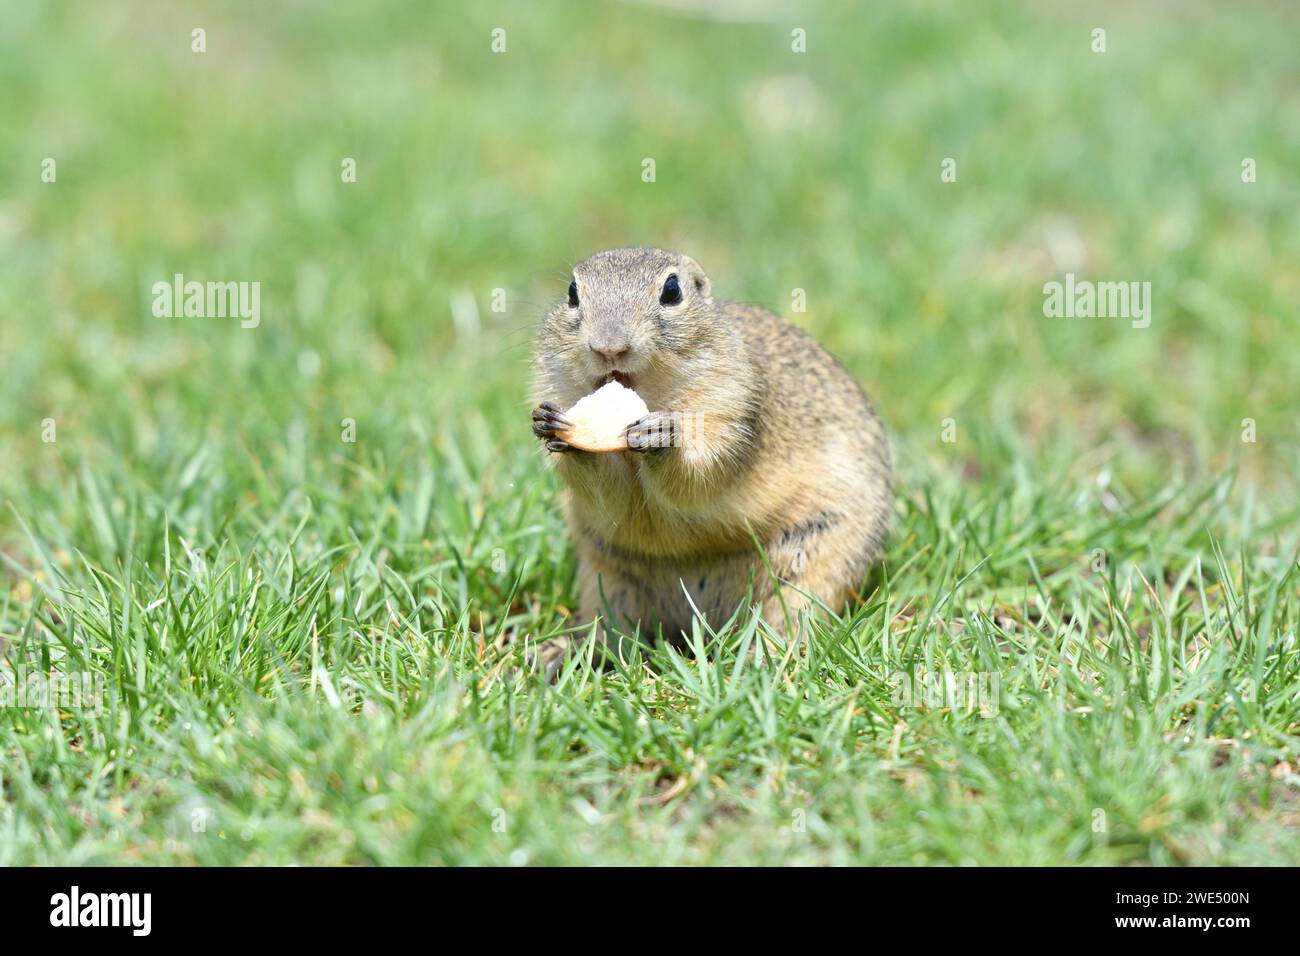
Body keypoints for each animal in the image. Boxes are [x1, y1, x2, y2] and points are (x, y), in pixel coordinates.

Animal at [531, 247, 891, 678]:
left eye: (672, 291)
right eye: (572, 292)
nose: (609, 347)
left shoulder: (734, 411)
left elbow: (701, 475)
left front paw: (664, 436)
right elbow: (608, 494)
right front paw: (554, 426)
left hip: (815, 566)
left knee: (791, 618)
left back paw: (762, 658)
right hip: (605, 579)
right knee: (612, 632)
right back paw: (564, 653)